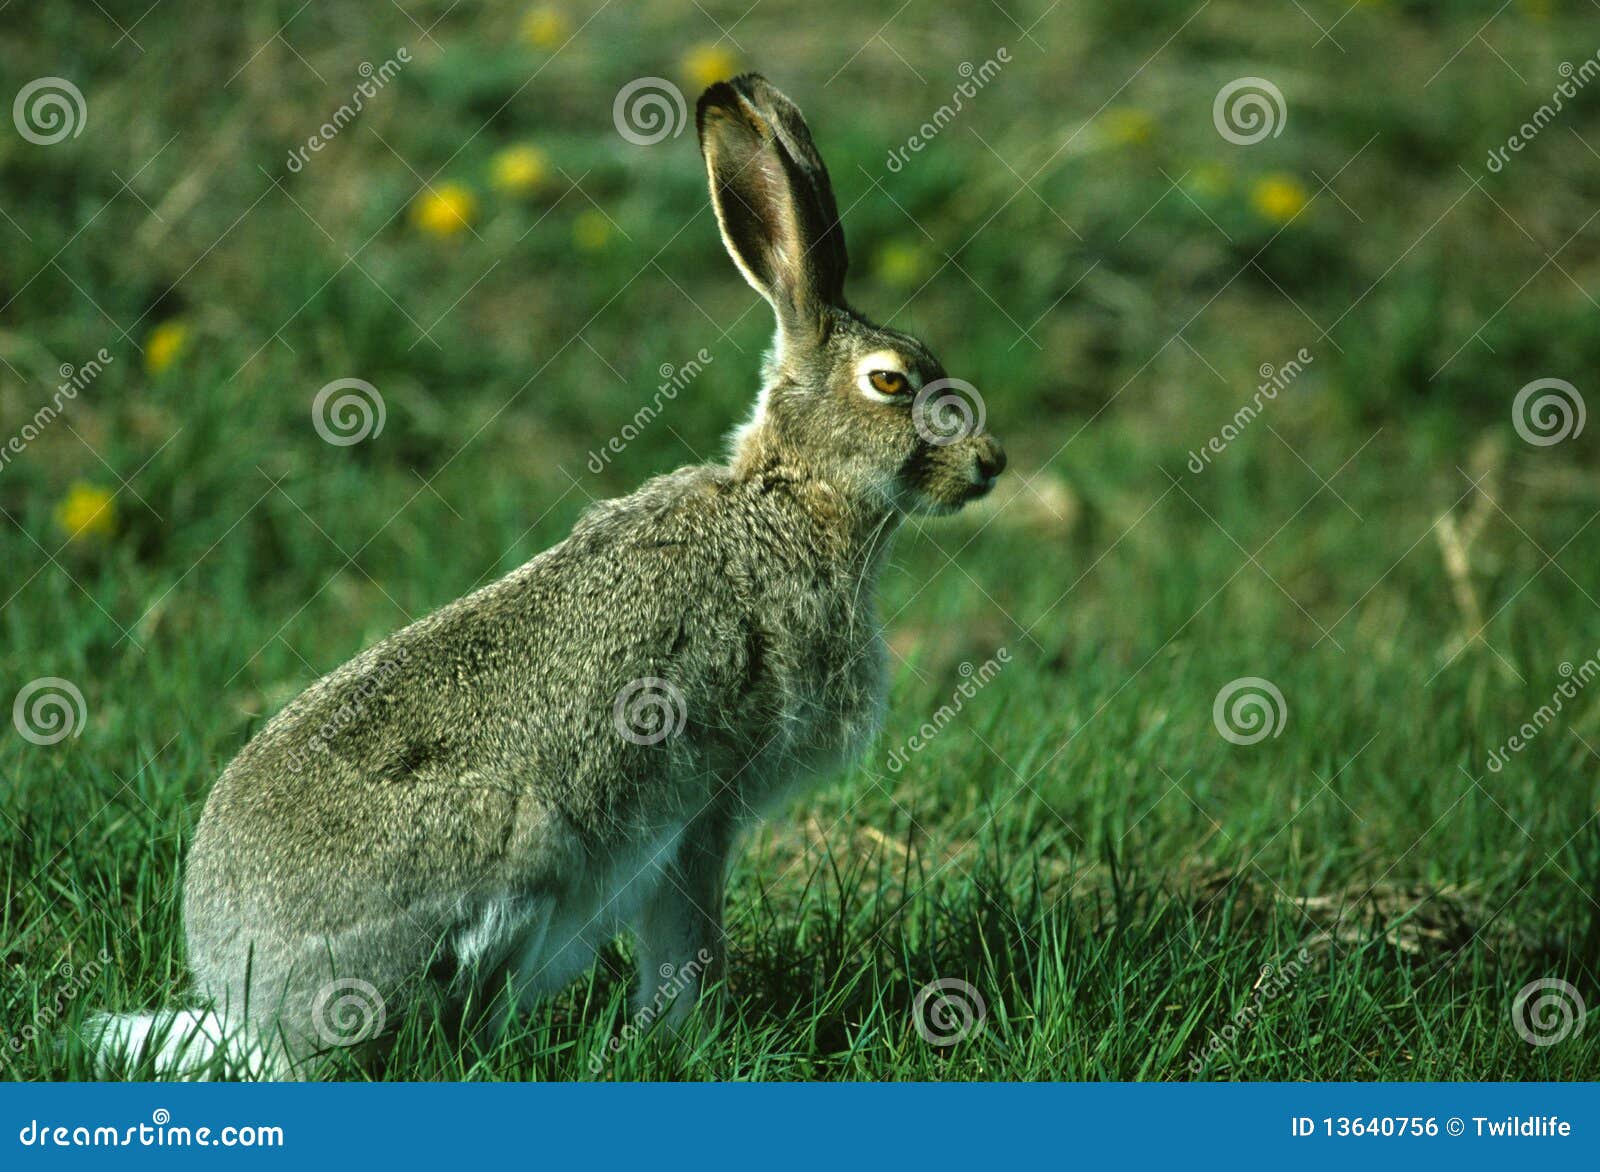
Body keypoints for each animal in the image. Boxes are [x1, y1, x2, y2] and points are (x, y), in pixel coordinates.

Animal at [89, 72, 1006, 1079]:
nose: (991, 463)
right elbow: (689, 940)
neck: (791, 494)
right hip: (519, 855)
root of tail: (253, 1013)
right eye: (892, 382)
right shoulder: (703, 811)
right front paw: (688, 1040)